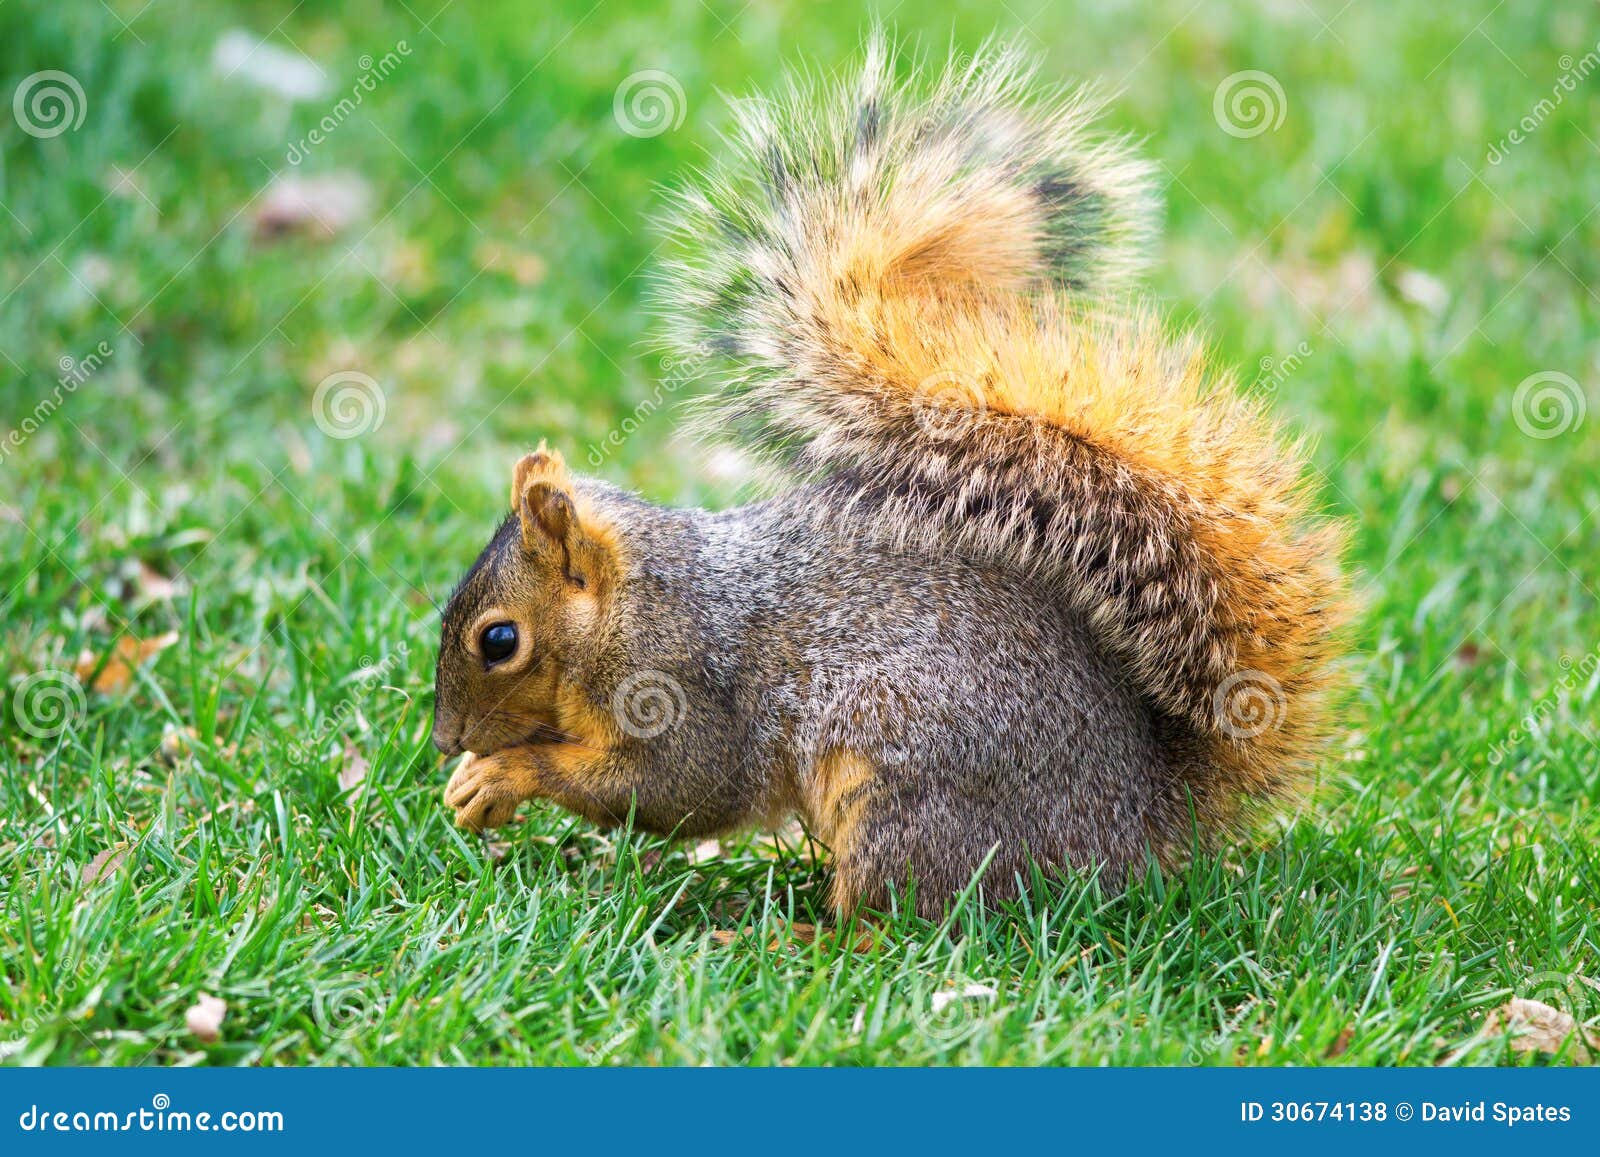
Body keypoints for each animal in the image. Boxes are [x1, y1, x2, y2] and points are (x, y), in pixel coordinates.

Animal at [430, 38, 1351, 918]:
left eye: (498, 640)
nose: (444, 740)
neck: (632, 604)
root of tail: (1144, 823)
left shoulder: (679, 684)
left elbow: (680, 789)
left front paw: (503, 774)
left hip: (901, 792)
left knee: (898, 920)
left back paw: (792, 932)